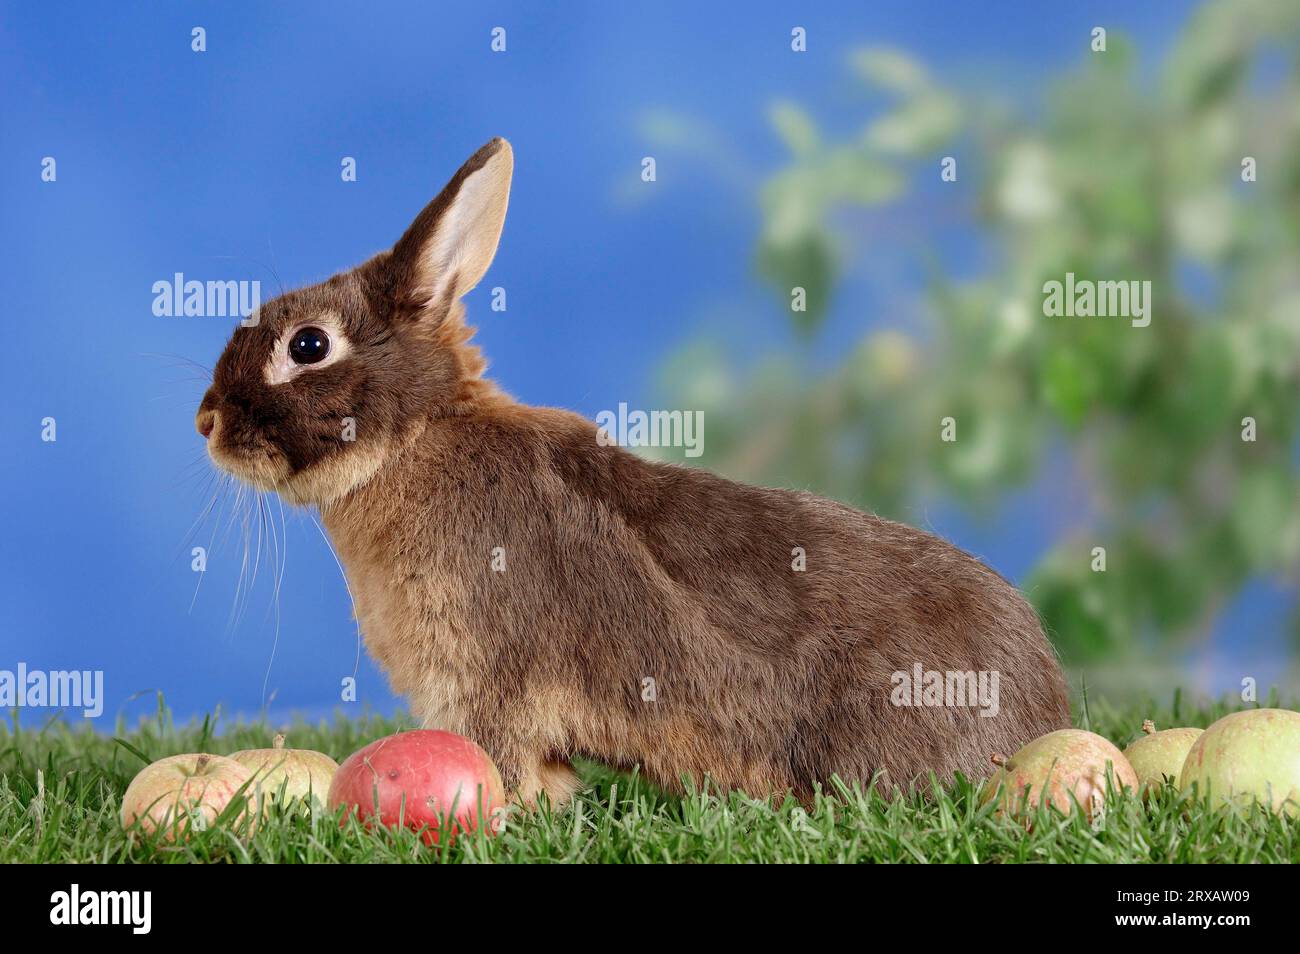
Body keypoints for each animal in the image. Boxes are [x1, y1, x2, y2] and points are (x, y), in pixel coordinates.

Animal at [197, 138, 1071, 808]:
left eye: (308, 345)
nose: (206, 422)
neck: (415, 437)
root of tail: (1045, 708)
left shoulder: (484, 681)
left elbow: (504, 761)